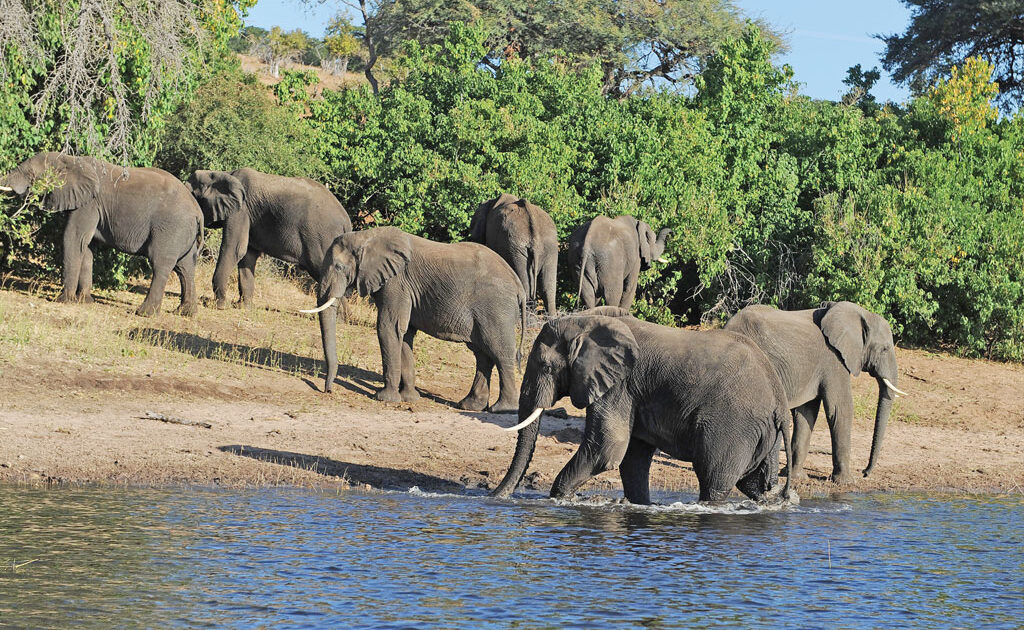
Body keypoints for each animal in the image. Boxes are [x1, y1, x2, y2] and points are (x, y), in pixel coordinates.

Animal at [0, 152, 202, 316]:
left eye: (30, 174)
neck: (71, 160)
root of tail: (197, 211)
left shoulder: (89, 204)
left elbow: (73, 239)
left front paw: (63, 301)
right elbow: (86, 247)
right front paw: (84, 301)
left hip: (171, 228)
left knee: (161, 264)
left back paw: (144, 314)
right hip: (183, 232)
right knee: (185, 267)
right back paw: (185, 313)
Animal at [187, 169, 352, 309]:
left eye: (193, 196)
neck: (224, 174)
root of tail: (347, 222)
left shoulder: (241, 211)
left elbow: (234, 249)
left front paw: (219, 305)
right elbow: (247, 256)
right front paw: (243, 307)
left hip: (321, 239)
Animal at [302, 226, 527, 413]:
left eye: (339, 267)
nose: (328, 390)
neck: (367, 236)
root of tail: (518, 285)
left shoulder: (396, 283)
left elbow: (388, 328)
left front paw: (384, 398)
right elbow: (405, 333)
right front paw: (409, 399)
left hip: (496, 309)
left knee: (500, 352)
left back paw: (502, 409)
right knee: (482, 355)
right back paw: (470, 406)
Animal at [491, 307, 793, 504]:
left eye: (545, 366)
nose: (494, 496)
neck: (587, 322)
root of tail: (779, 401)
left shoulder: (619, 385)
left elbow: (607, 449)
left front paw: (559, 499)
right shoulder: (633, 393)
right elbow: (633, 458)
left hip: (732, 426)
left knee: (714, 481)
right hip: (762, 433)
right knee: (755, 484)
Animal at [724, 301, 906, 484]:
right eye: (885, 349)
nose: (864, 472)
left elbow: (806, 414)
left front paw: (797, 476)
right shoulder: (834, 360)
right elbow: (840, 410)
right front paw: (846, 482)